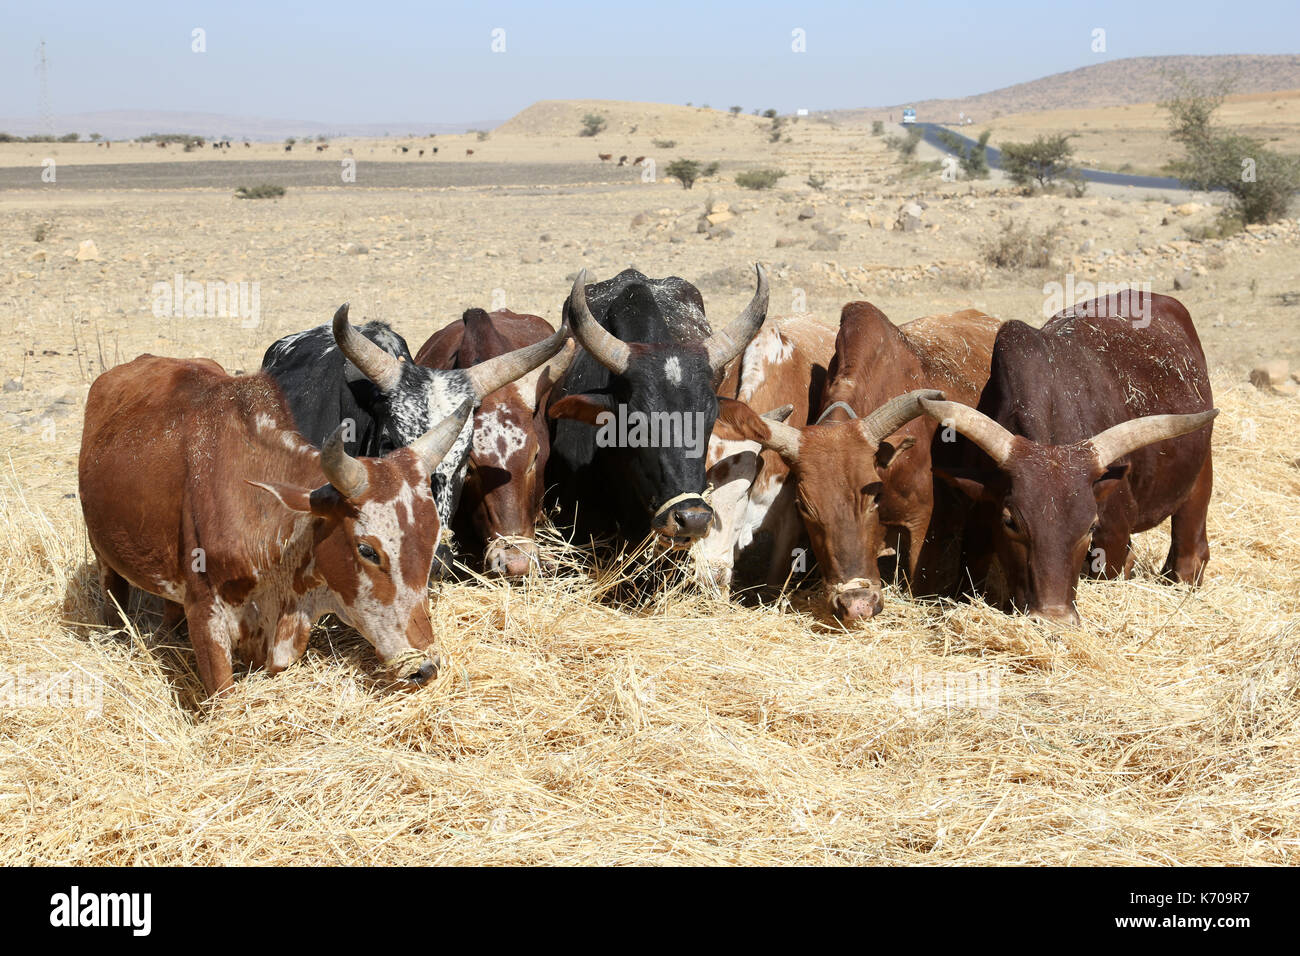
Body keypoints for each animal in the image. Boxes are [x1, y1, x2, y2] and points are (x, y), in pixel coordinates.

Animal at [79, 354, 470, 696]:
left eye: (432, 545)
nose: (425, 667)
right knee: (112, 591)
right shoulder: (206, 617)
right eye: (366, 550)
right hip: (102, 551)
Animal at [914, 292, 1217, 624]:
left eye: (1090, 526)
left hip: (1199, 476)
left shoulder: (1113, 531)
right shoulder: (981, 509)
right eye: (1010, 522)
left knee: (1191, 553)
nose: (1053, 619)